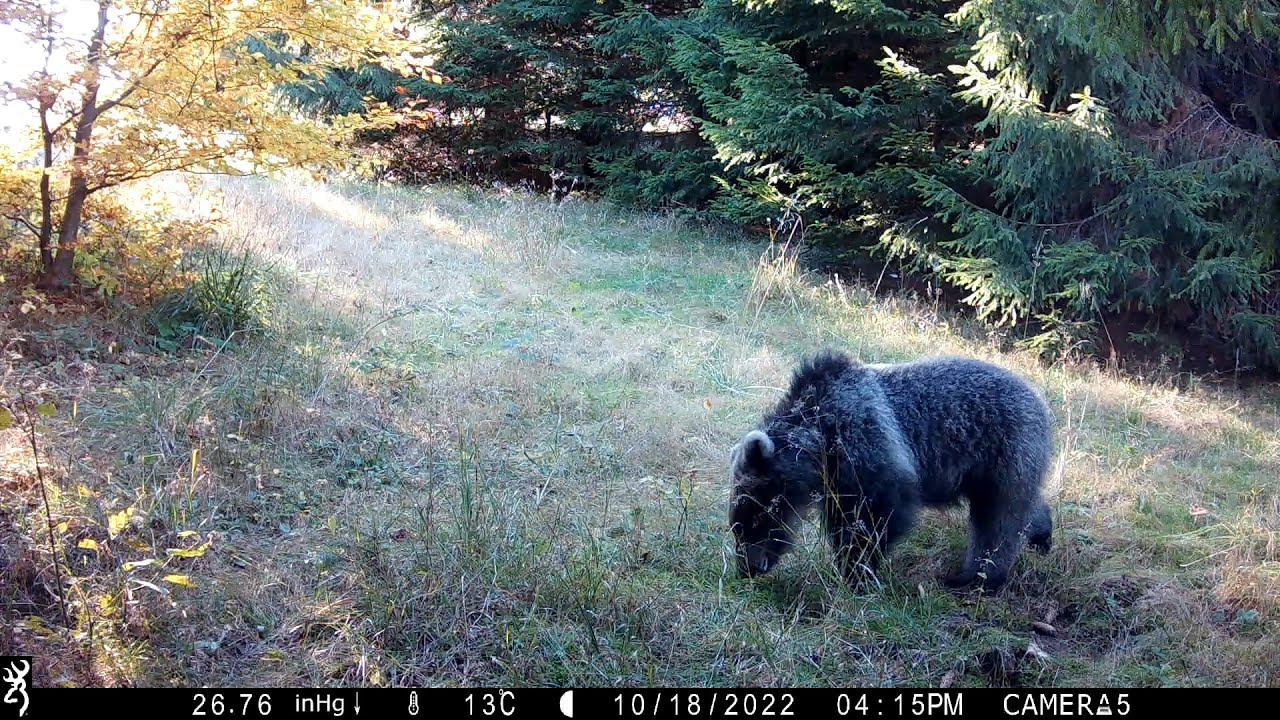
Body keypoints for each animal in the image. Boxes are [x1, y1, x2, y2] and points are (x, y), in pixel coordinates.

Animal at [728, 350, 1054, 592]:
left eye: (753, 515)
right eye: (737, 521)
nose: (747, 568)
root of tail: (1040, 400)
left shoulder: (868, 447)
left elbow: (877, 515)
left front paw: (856, 570)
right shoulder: (838, 480)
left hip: (1002, 450)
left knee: (997, 521)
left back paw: (975, 577)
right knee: (1019, 508)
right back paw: (1041, 535)